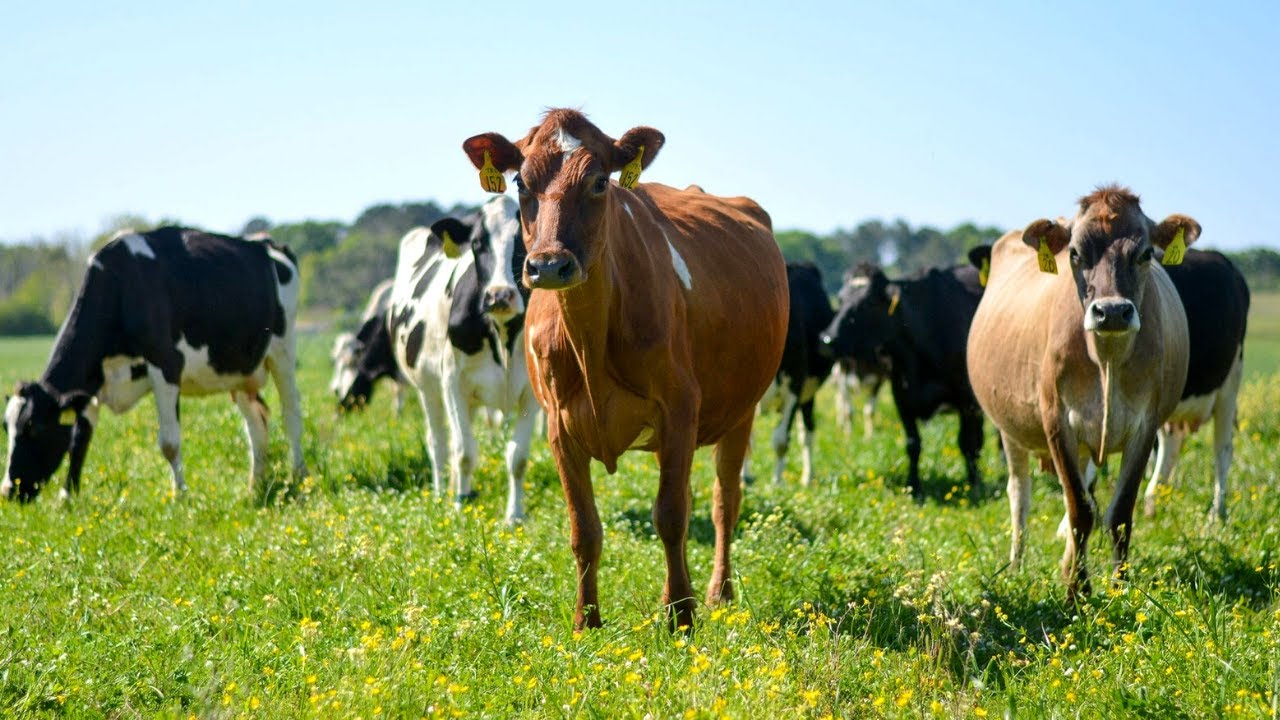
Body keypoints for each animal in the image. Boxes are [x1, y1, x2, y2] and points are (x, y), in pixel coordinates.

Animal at [2, 227, 306, 501]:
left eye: (35, 429)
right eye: (7, 428)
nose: (8, 491)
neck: (121, 288)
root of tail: (265, 242)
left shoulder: (166, 365)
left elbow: (169, 443)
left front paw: (180, 496)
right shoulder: (90, 384)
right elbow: (79, 440)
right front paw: (66, 499)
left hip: (283, 352)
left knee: (291, 414)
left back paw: (299, 476)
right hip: (239, 372)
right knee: (256, 423)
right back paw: (255, 486)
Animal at [462, 109, 788, 631]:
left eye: (600, 182)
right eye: (521, 183)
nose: (548, 265)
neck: (591, 338)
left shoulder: (680, 409)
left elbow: (671, 516)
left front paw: (682, 616)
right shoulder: (559, 426)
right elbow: (585, 529)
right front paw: (586, 621)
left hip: (742, 410)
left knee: (724, 502)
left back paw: (718, 592)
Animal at [819, 261, 985, 497]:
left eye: (868, 302)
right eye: (840, 299)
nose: (827, 339)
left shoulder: (967, 400)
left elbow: (967, 444)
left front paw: (975, 485)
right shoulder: (902, 396)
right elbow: (913, 444)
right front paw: (914, 486)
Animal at [967, 185, 1195, 601]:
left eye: (1145, 253)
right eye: (1074, 254)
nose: (1113, 312)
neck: (1107, 357)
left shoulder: (1146, 426)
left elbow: (1118, 513)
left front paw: (1118, 587)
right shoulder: (1057, 421)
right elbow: (1079, 511)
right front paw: (1076, 589)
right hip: (1009, 430)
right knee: (1019, 495)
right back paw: (1016, 565)